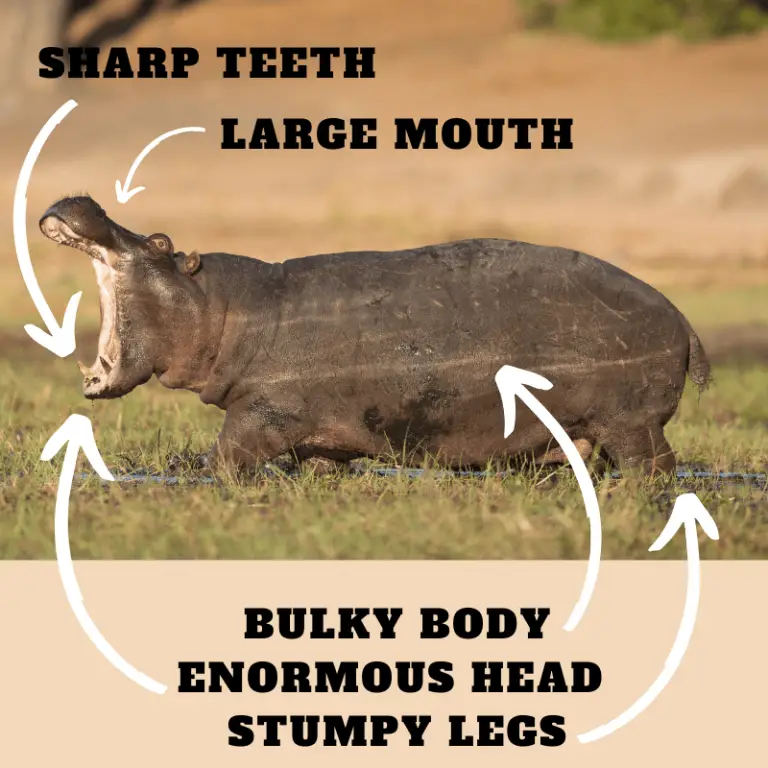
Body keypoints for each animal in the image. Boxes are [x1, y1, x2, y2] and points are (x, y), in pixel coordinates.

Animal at [39, 195, 711, 476]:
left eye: (159, 242)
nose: (90, 202)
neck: (224, 310)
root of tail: (680, 315)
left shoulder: (262, 408)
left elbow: (228, 452)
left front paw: (196, 472)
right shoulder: (320, 432)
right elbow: (319, 465)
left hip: (630, 420)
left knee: (656, 464)